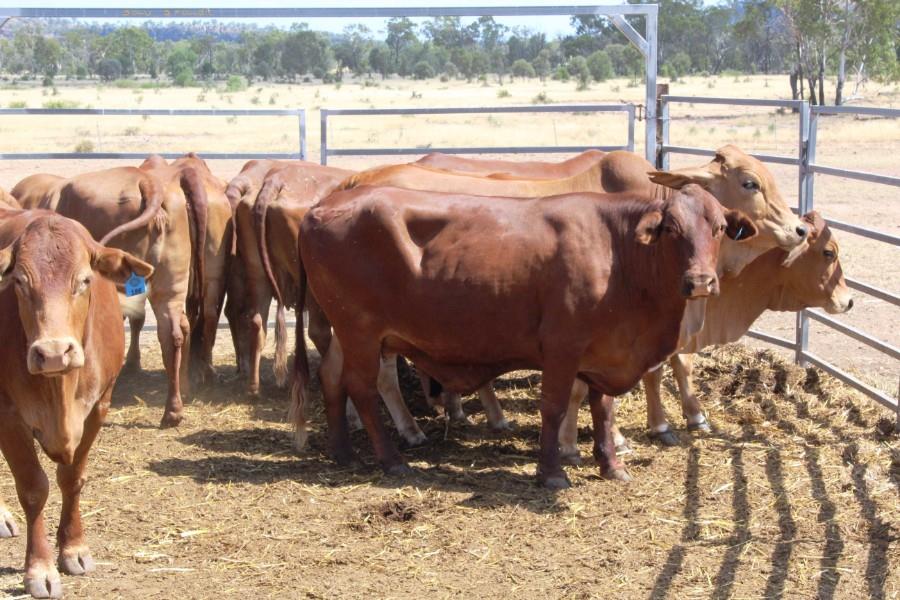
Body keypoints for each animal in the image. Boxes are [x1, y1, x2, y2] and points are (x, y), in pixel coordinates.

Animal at [0, 208, 152, 599]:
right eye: (20, 282)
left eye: (84, 280)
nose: (54, 352)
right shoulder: (8, 416)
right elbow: (34, 488)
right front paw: (40, 568)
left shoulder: (99, 407)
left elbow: (72, 478)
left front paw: (73, 548)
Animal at [293, 184, 756, 488]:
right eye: (672, 229)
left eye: (718, 227)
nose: (700, 281)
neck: (617, 252)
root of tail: (321, 206)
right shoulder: (562, 347)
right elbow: (553, 407)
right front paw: (551, 473)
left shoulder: (605, 350)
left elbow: (603, 410)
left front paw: (611, 466)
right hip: (361, 330)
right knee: (361, 388)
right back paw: (391, 461)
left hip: (345, 332)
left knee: (331, 378)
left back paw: (342, 452)